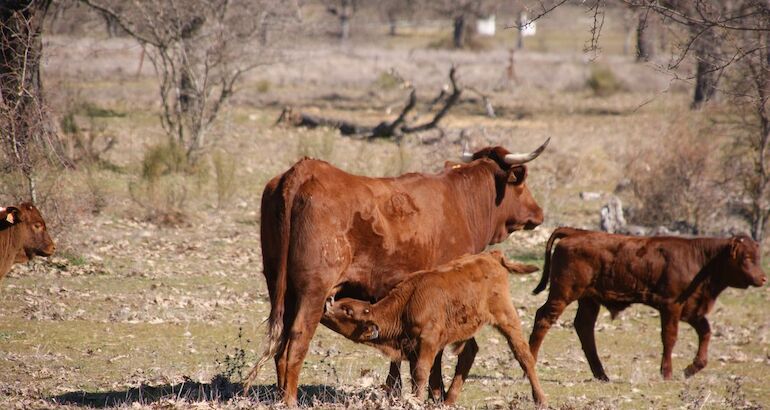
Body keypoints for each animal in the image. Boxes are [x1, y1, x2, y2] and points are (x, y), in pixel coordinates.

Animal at [322, 251, 547, 406]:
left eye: (348, 310)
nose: (327, 303)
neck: (407, 303)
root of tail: (490, 255)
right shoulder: (412, 347)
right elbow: (415, 376)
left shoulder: (427, 343)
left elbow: (421, 373)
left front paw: (416, 401)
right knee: (469, 353)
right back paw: (449, 401)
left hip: (507, 318)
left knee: (523, 355)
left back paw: (540, 399)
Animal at [529, 227, 767, 382]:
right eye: (746, 258)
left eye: (758, 256)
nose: (763, 278)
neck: (702, 260)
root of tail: (576, 232)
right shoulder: (671, 306)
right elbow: (670, 337)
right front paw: (667, 373)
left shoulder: (692, 311)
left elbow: (706, 332)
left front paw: (690, 369)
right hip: (563, 295)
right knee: (543, 318)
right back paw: (529, 363)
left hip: (589, 300)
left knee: (584, 328)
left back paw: (602, 375)